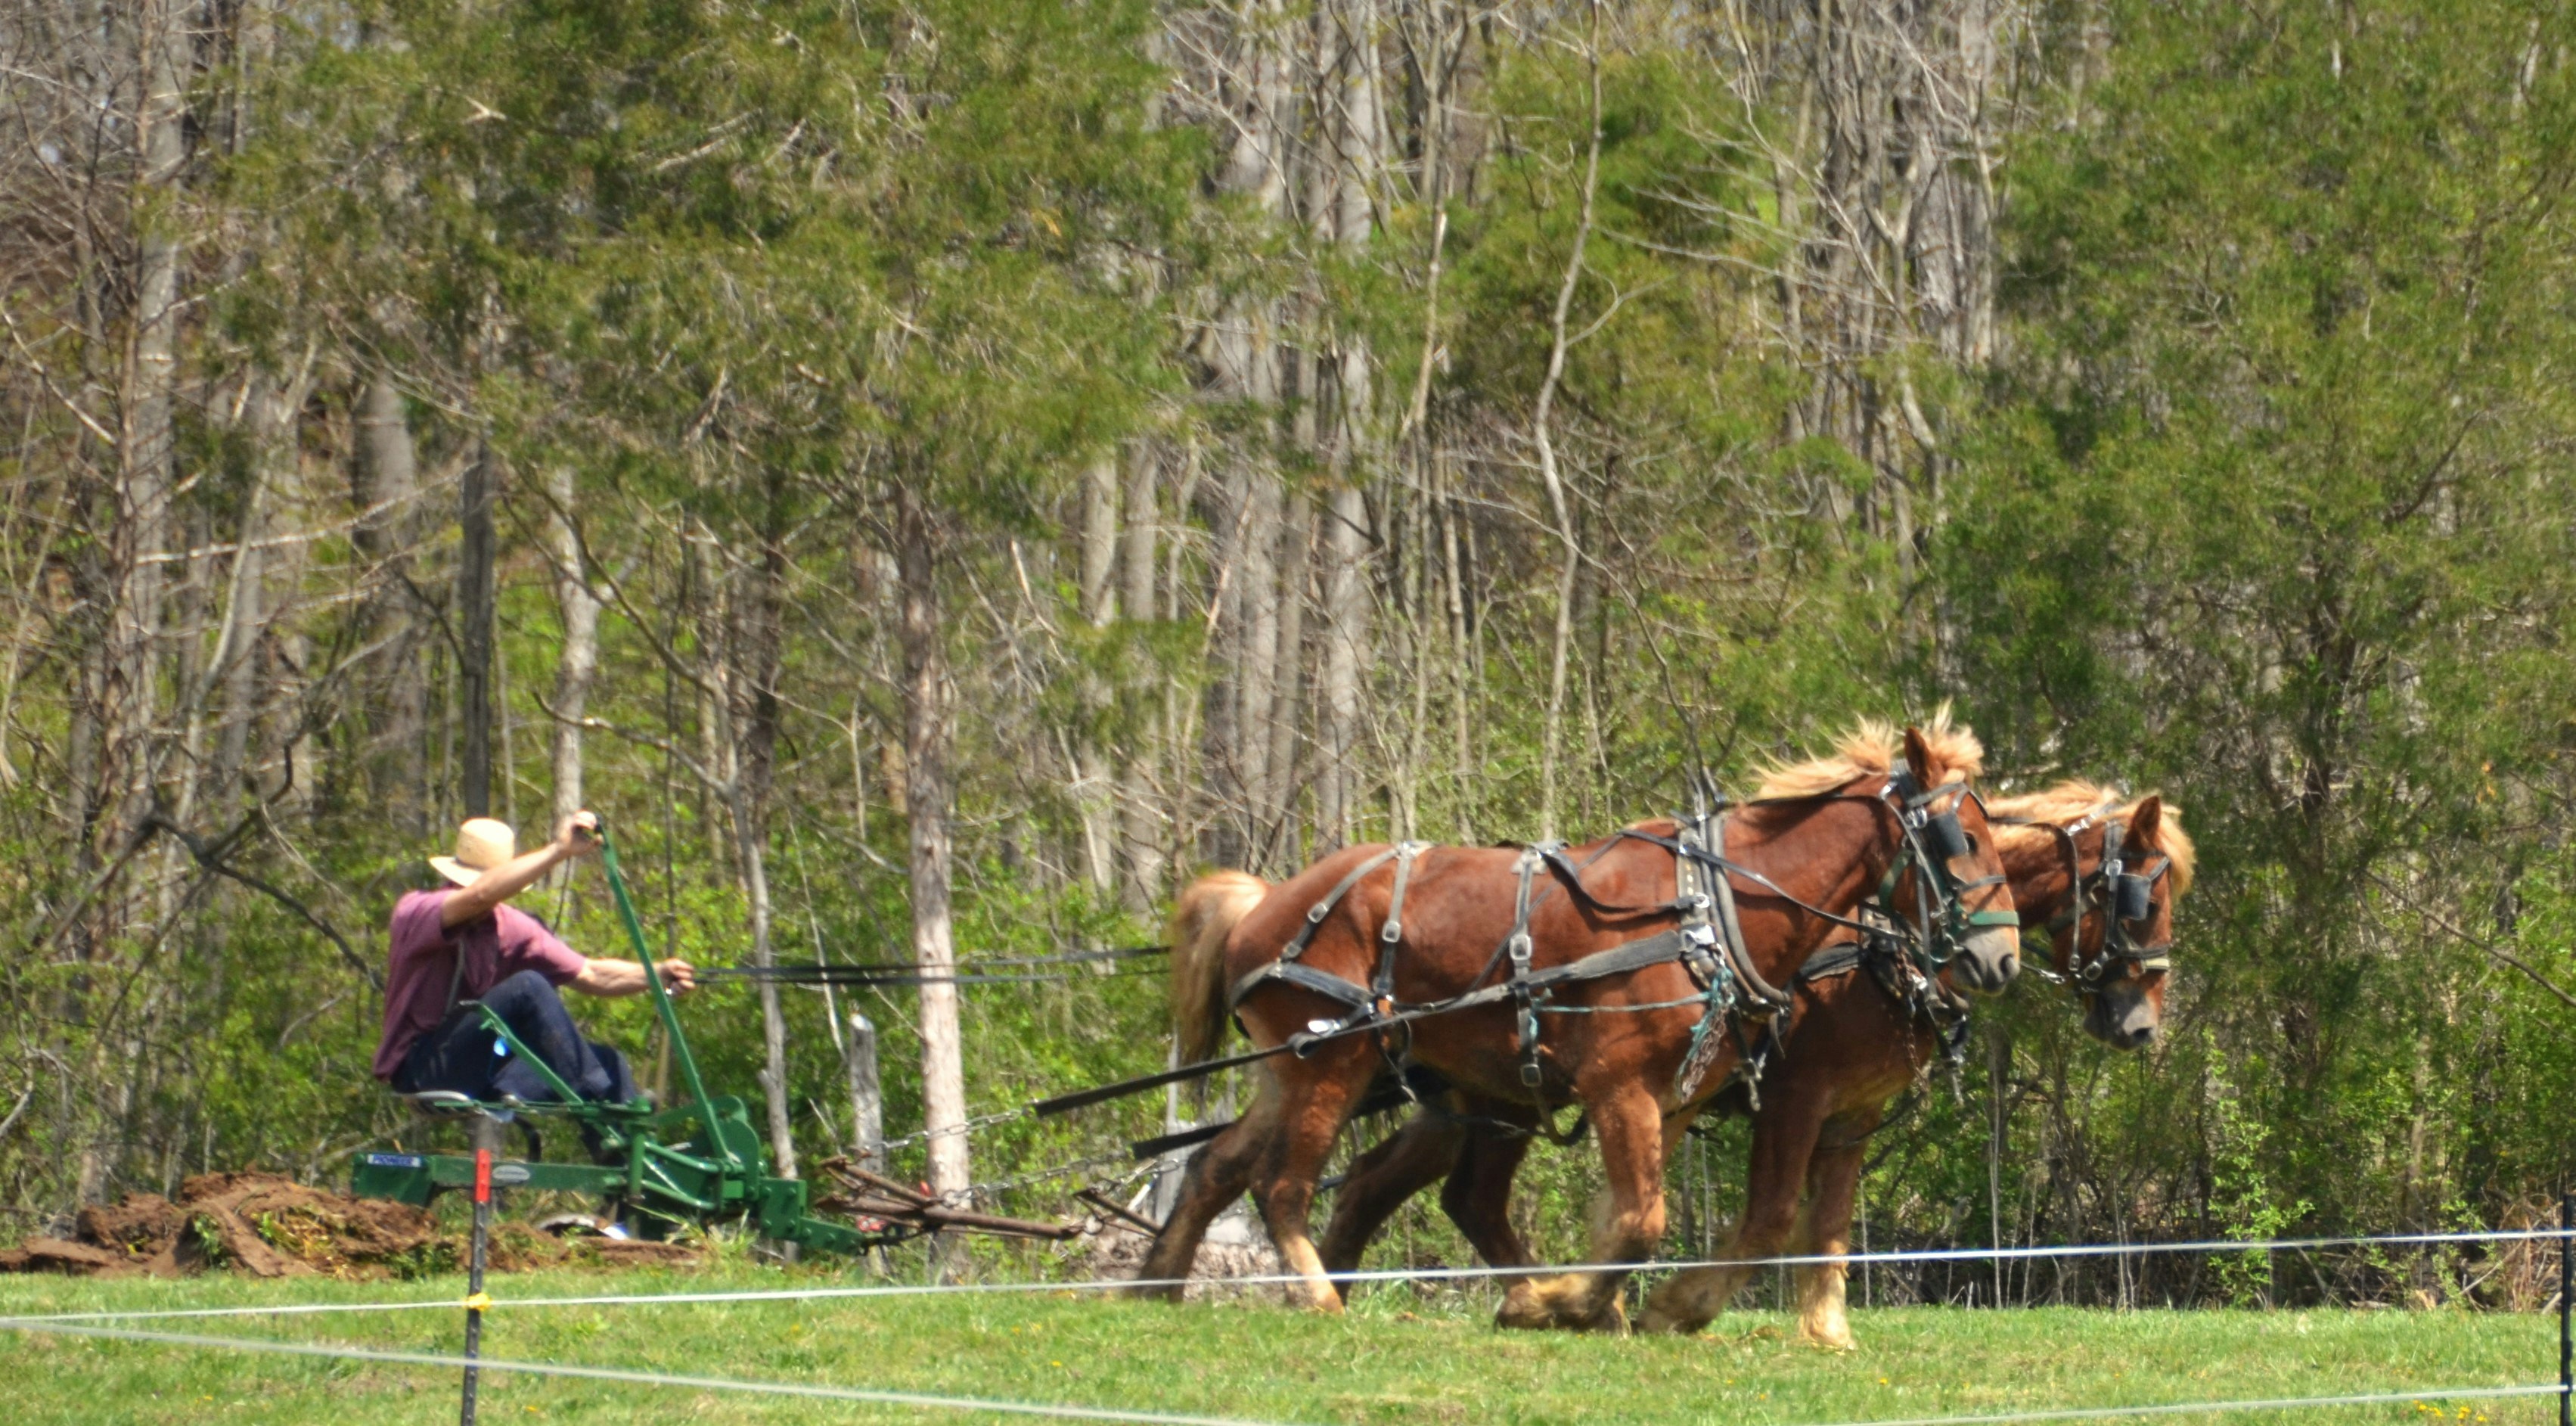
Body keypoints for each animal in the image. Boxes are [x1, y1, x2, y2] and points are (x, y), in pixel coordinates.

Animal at [1135, 720, 2021, 1330]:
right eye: (1965, 839)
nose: (2002, 957)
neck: (1712, 910)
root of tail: (1265, 902)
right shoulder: (1628, 1085)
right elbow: (1645, 1220)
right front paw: (1573, 1304)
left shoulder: (1690, 1095)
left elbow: (1641, 1213)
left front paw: (1580, 1304)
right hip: (1336, 1065)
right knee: (1281, 1184)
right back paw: (1319, 1293)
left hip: (1321, 1072)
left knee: (1220, 1166)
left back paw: (1157, 1284)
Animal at [1312, 779, 2191, 1347]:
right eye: (2141, 898)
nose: (2141, 1025)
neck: (1876, 948)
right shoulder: (1796, 1095)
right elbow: (1767, 1217)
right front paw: (1677, 1306)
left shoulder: (1852, 1113)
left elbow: (1827, 1224)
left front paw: (1826, 1331)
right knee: (1431, 1189)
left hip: (1474, 1095)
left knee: (1391, 1186)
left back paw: (1340, 1283)